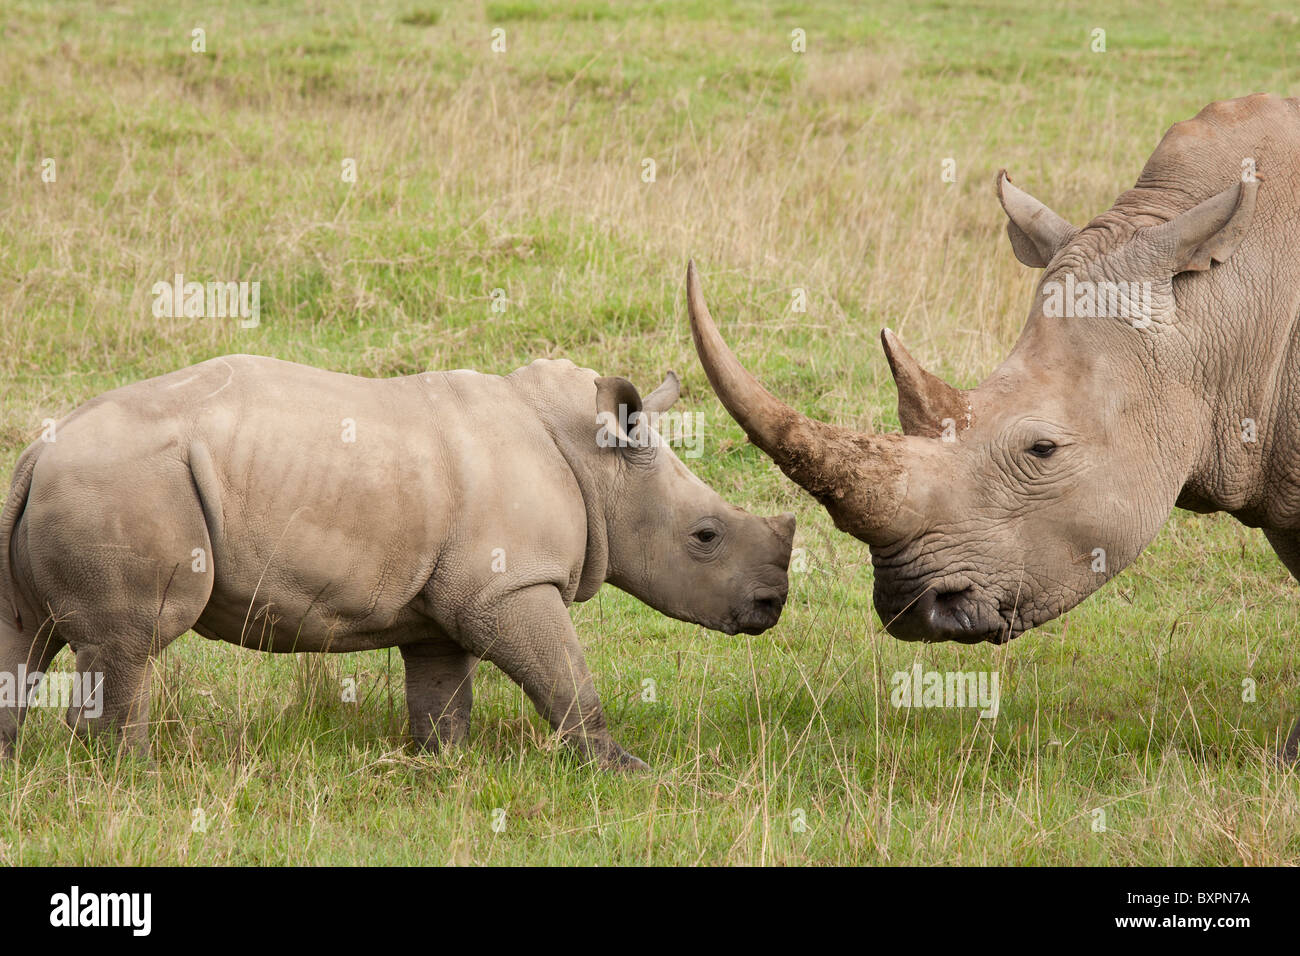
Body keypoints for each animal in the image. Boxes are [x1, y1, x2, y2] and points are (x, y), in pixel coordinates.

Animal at [0, 355, 795, 768]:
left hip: (80, 482)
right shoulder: (510, 585)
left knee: (24, 637)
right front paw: (622, 770)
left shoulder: (452, 601)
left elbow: (442, 694)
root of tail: (39, 450)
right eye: (705, 537)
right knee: (132, 642)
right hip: (125, 480)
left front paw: (444, 767)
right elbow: (566, 678)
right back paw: (130, 777)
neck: (597, 466)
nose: (772, 604)